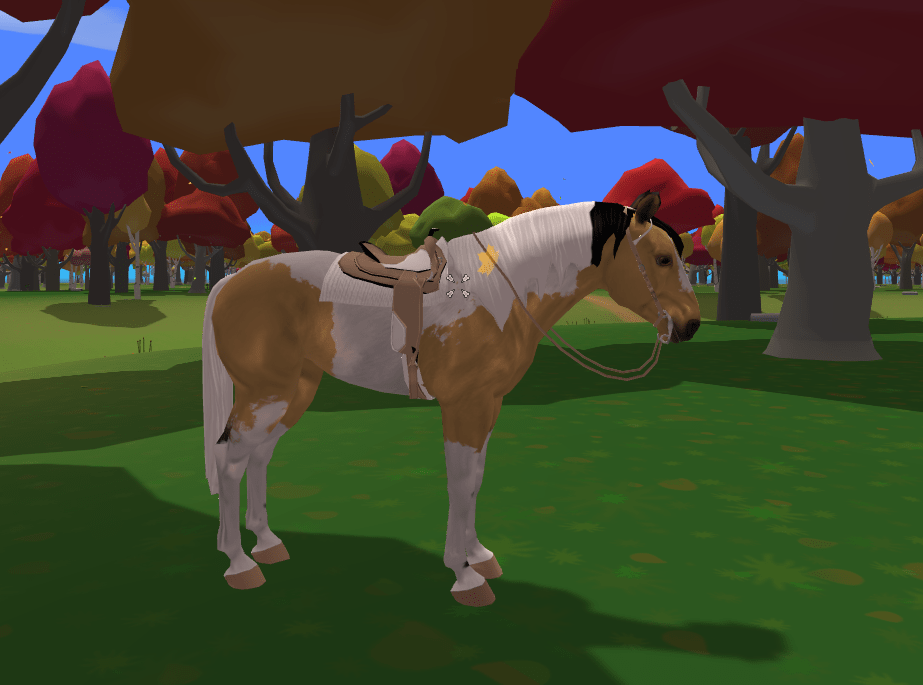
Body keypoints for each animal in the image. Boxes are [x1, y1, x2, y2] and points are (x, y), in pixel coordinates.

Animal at [201, 191, 701, 606]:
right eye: (661, 258)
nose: (690, 324)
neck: (500, 289)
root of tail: (229, 283)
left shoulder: (487, 406)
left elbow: (475, 480)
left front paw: (478, 555)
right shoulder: (465, 406)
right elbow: (460, 483)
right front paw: (464, 575)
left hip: (294, 392)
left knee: (259, 457)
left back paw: (266, 543)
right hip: (267, 394)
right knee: (231, 460)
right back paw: (239, 563)